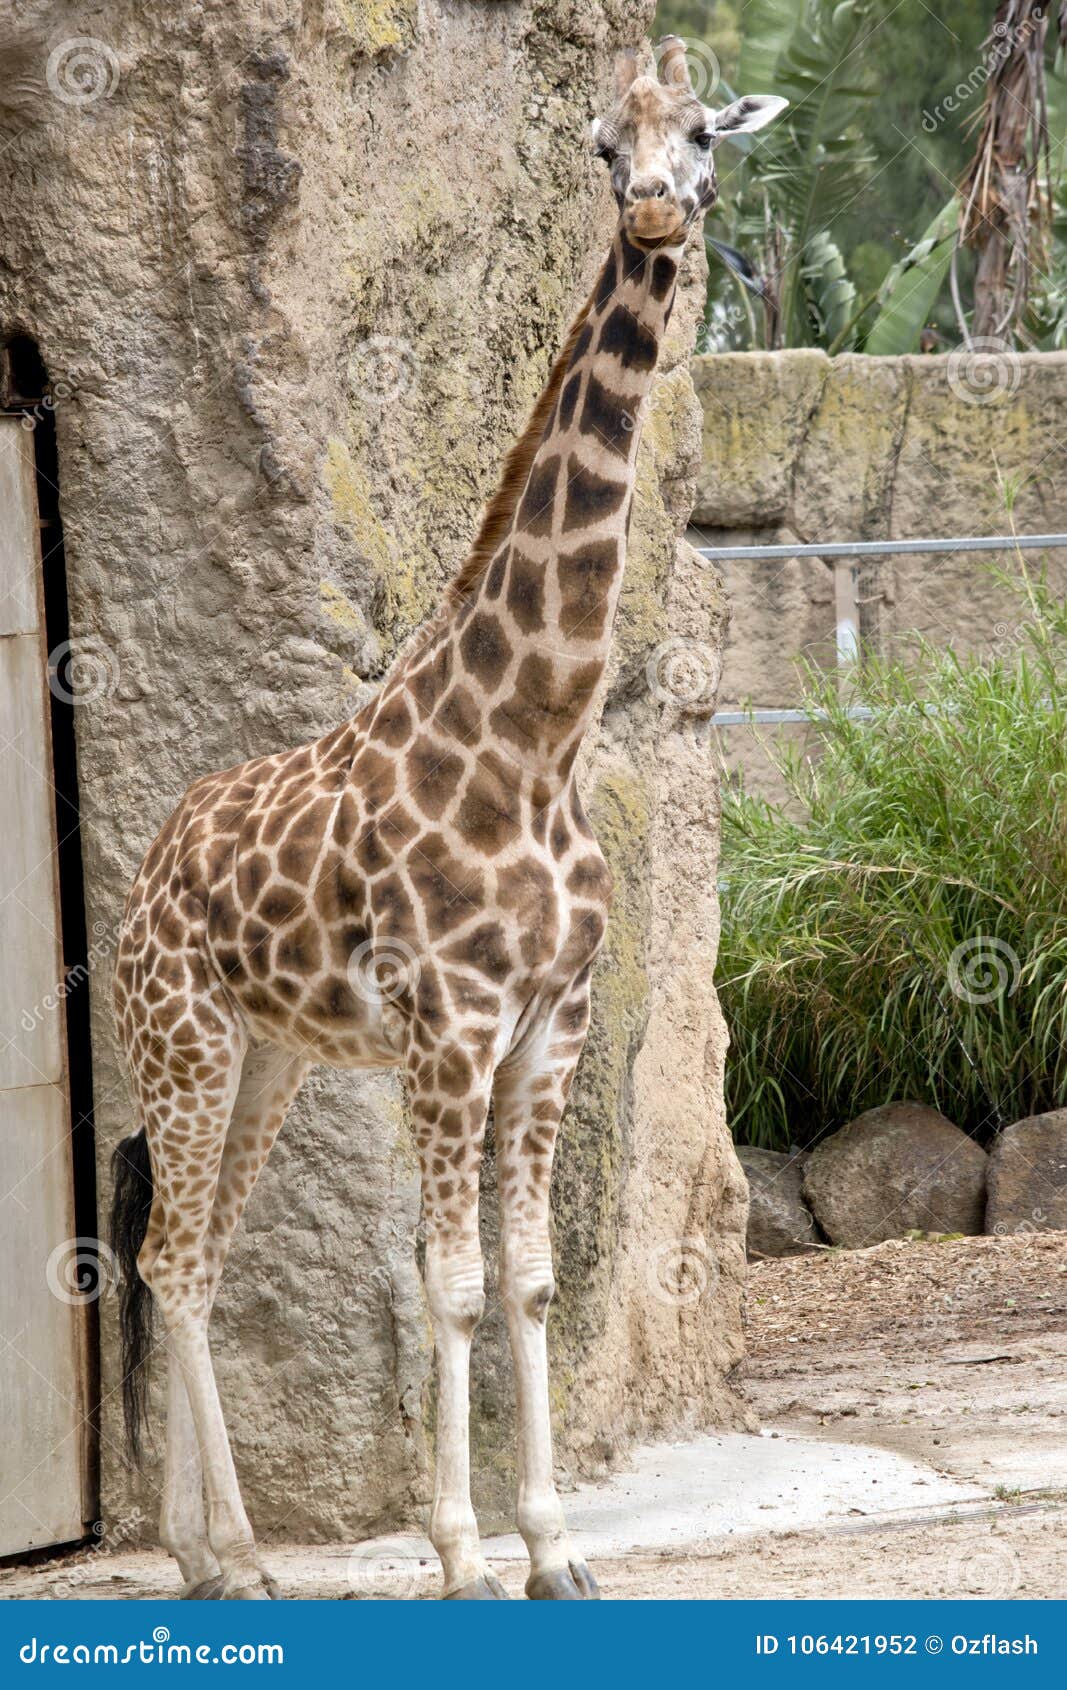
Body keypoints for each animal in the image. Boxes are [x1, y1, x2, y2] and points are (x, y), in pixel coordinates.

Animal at [109, 40, 786, 1602]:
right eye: (599, 142)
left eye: (702, 135)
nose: (651, 211)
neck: (538, 736)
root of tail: (152, 867)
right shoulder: (450, 1032)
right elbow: (453, 1283)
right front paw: (463, 1551)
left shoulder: (553, 1025)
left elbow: (530, 1279)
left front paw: (551, 1548)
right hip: (180, 1039)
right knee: (169, 1260)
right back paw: (234, 1554)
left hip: (269, 1058)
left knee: (195, 1254)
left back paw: (207, 1554)